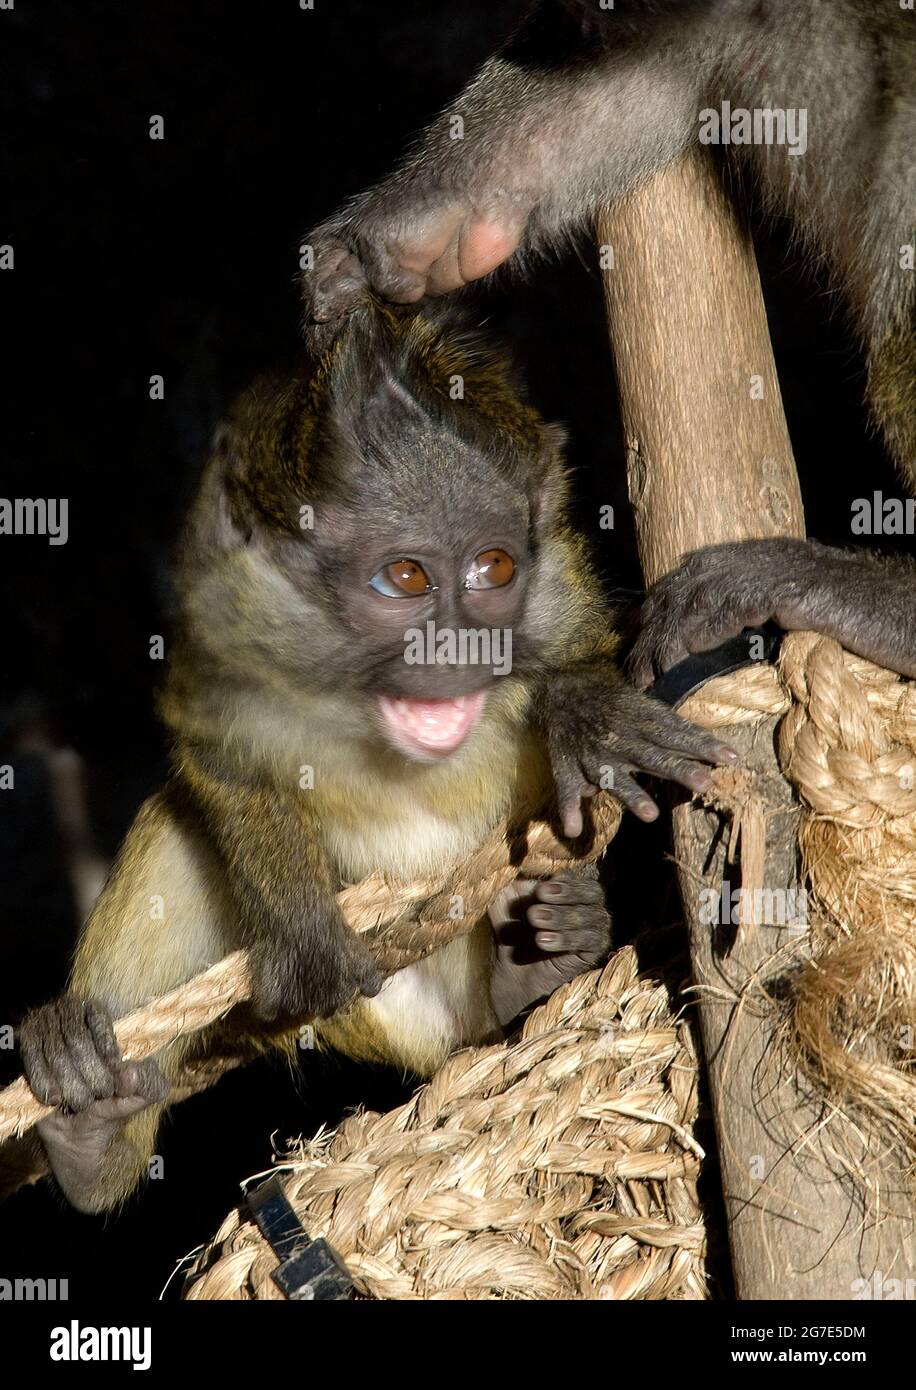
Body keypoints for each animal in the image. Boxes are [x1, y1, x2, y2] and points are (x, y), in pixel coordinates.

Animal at [17, 302, 737, 1213]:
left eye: (492, 567)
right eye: (405, 578)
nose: (457, 646)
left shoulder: (554, 573)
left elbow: (587, 649)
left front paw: (587, 712)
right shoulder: (233, 598)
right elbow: (217, 757)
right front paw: (303, 932)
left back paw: (539, 963)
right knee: (173, 830)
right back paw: (93, 1128)